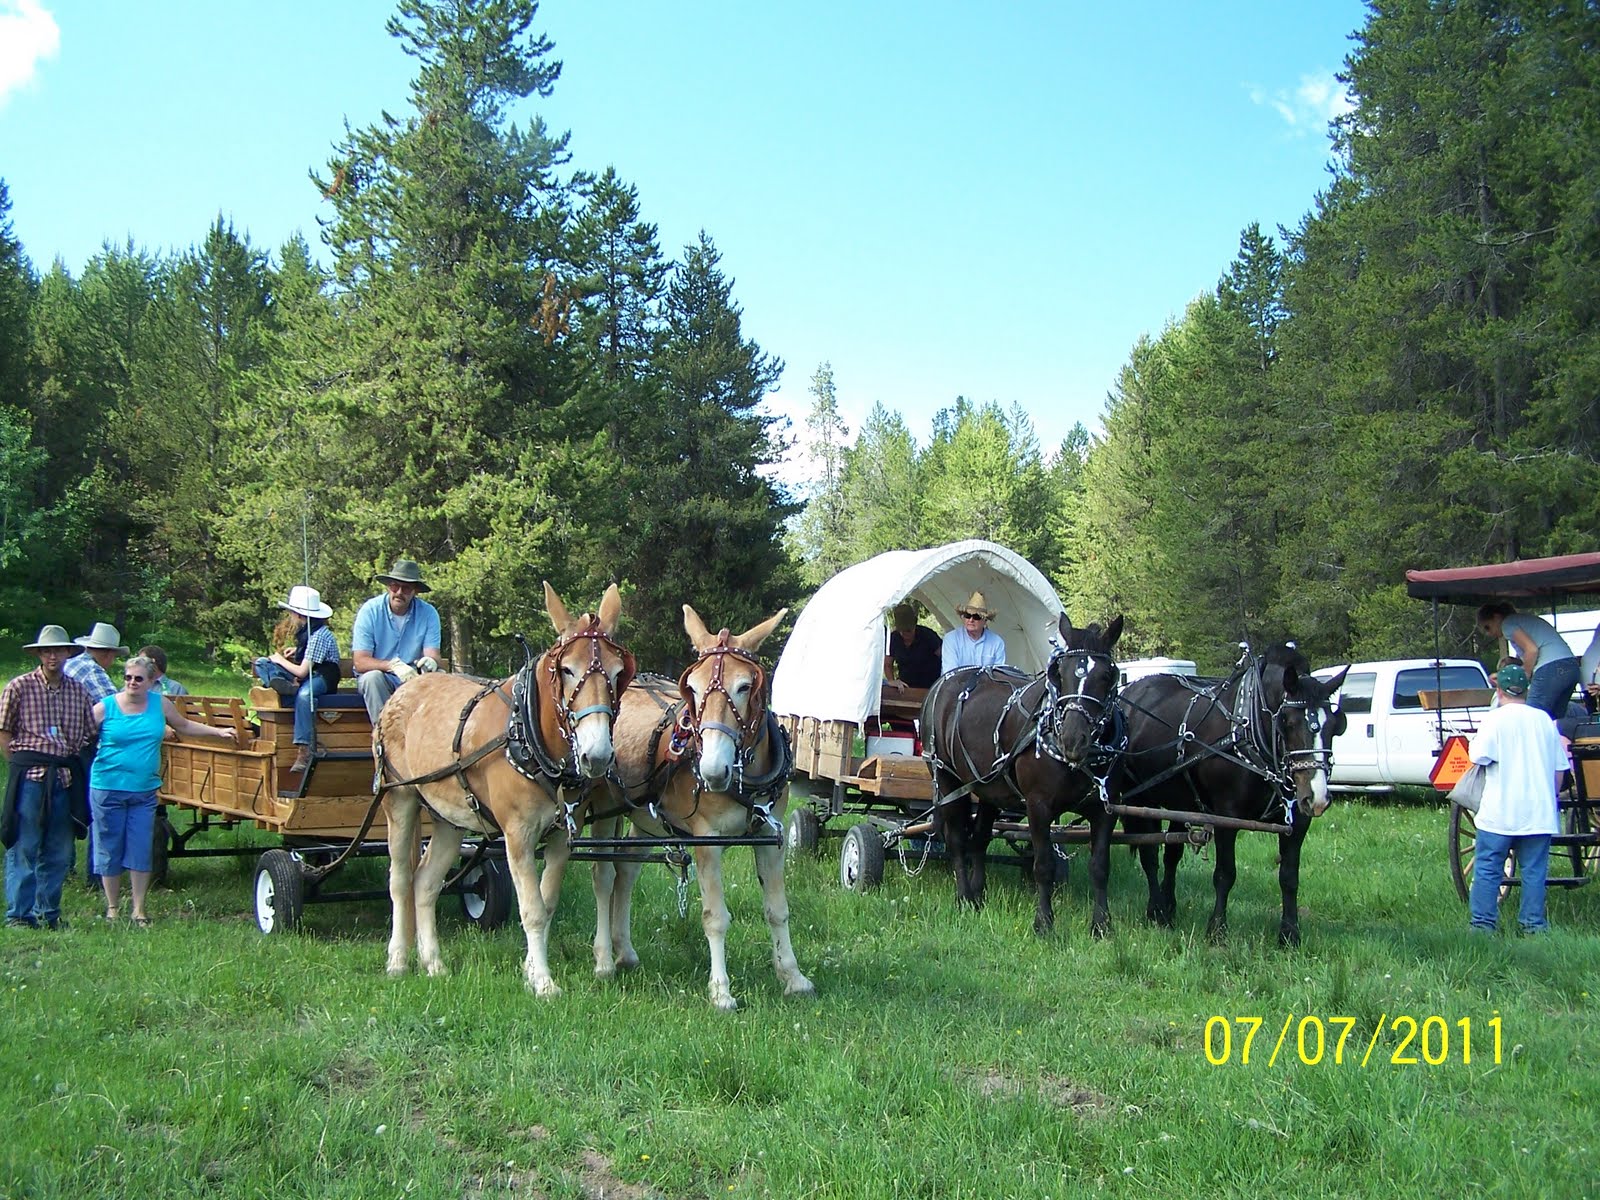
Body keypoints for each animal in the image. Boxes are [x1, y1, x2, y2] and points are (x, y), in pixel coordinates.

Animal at [376, 582, 634, 996]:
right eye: (566, 669)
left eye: (617, 672)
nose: (597, 755)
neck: (528, 736)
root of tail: (406, 688)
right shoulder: (518, 835)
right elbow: (531, 909)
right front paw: (543, 981)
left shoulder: (561, 837)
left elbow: (546, 903)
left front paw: (530, 968)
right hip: (399, 799)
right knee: (400, 881)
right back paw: (399, 960)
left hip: (448, 819)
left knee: (425, 883)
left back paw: (433, 963)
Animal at [593, 605, 814, 1011]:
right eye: (691, 688)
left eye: (745, 687)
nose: (712, 770)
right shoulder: (706, 840)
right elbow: (715, 917)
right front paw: (721, 991)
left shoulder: (769, 838)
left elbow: (778, 910)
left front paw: (792, 976)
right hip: (602, 808)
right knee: (602, 876)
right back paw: (602, 959)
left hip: (644, 818)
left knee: (626, 871)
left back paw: (624, 951)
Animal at [920, 614, 1125, 936]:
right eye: (1059, 673)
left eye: (1107, 675)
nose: (1073, 740)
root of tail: (945, 681)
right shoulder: (1037, 806)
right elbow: (1043, 865)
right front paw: (1043, 923)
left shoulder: (1106, 808)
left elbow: (1100, 866)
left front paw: (1102, 925)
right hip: (947, 780)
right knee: (957, 840)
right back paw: (964, 896)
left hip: (990, 788)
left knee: (979, 839)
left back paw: (978, 895)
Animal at [1115, 643, 1348, 946]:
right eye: (1287, 721)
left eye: (1335, 724)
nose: (1317, 798)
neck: (1251, 734)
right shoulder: (1227, 816)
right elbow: (1225, 874)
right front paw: (1216, 930)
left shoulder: (1297, 821)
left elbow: (1289, 877)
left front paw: (1289, 934)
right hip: (1142, 799)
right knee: (1150, 855)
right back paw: (1156, 910)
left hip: (1180, 800)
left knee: (1171, 854)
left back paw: (1167, 907)